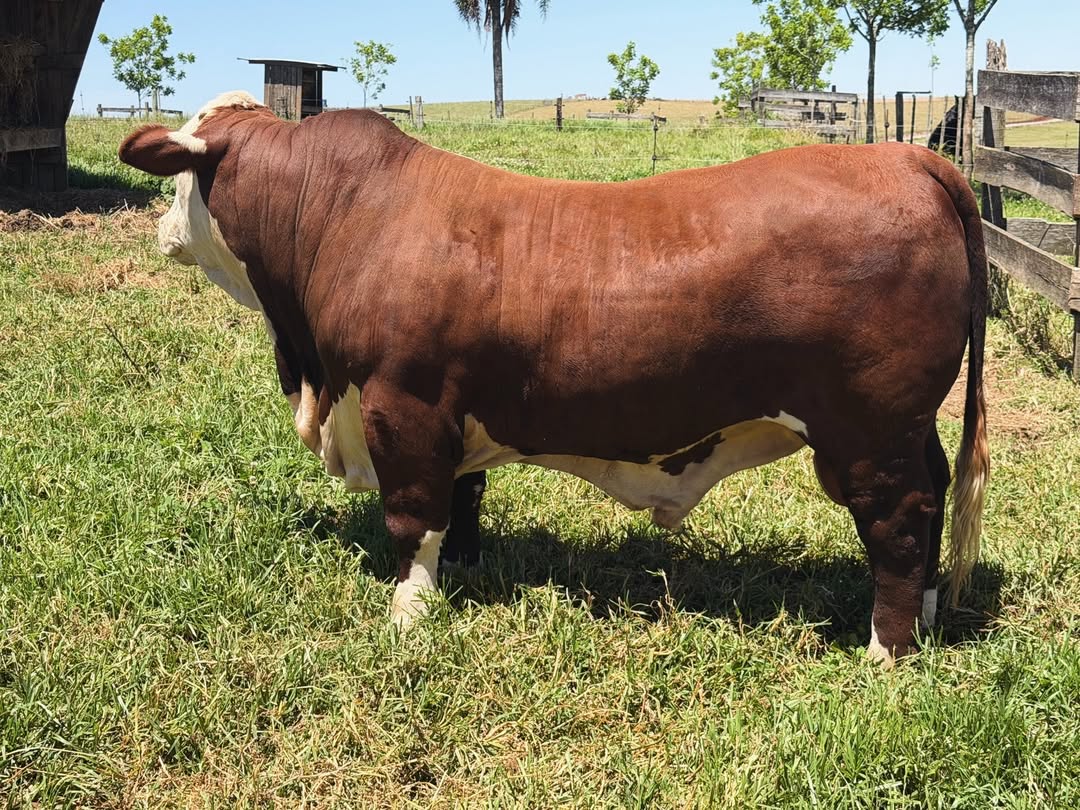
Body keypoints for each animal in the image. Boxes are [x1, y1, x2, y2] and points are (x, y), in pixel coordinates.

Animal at [119, 91, 989, 665]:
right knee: (937, 492)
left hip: (867, 430)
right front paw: (463, 570)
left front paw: (408, 614)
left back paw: (884, 654)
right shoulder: (451, 413)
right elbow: (463, 497)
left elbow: (412, 518)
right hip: (910, 426)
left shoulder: (402, 405)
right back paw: (931, 615)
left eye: (178, 179)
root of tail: (908, 156)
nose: (159, 231)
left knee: (899, 522)